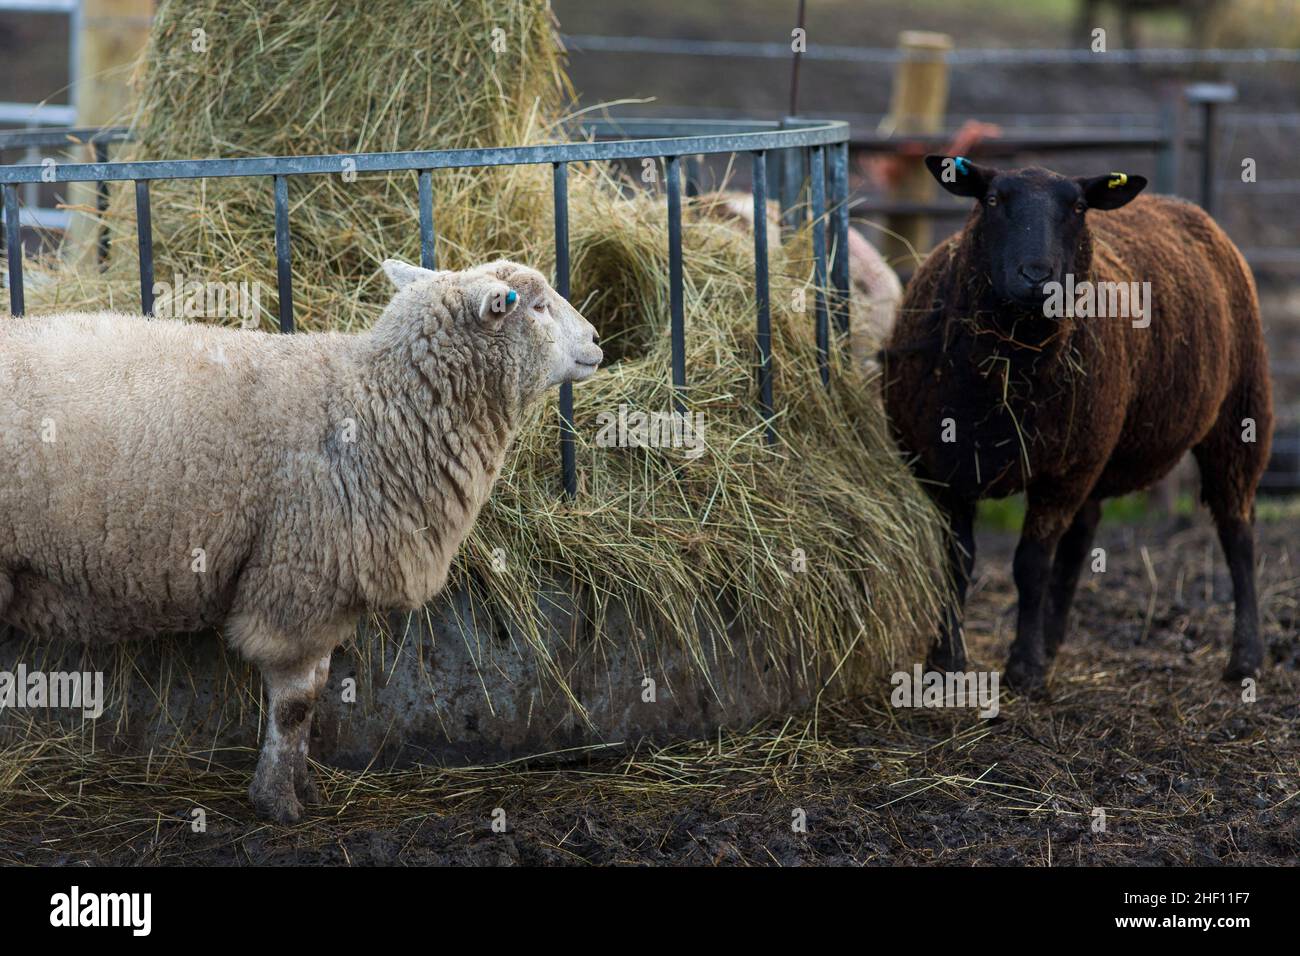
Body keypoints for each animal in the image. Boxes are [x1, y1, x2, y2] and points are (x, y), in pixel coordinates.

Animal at [0, 259, 602, 821]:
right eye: (536, 307)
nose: (598, 341)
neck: (372, 406)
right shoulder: (297, 581)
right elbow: (294, 705)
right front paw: (277, 802)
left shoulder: (322, 593)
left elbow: (313, 695)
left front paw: (303, 786)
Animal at [882, 156, 1273, 692]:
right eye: (992, 200)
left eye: (1079, 207)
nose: (1037, 276)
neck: (1008, 374)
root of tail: (1180, 205)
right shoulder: (944, 468)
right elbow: (957, 563)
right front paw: (947, 661)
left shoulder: (1059, 473)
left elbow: (1031, 564)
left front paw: (1024, 669)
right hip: (1096, 446)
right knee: (1082, 535)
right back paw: (1053, 640)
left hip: (1237, 414)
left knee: (1238, 529)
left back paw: (1246, 658)